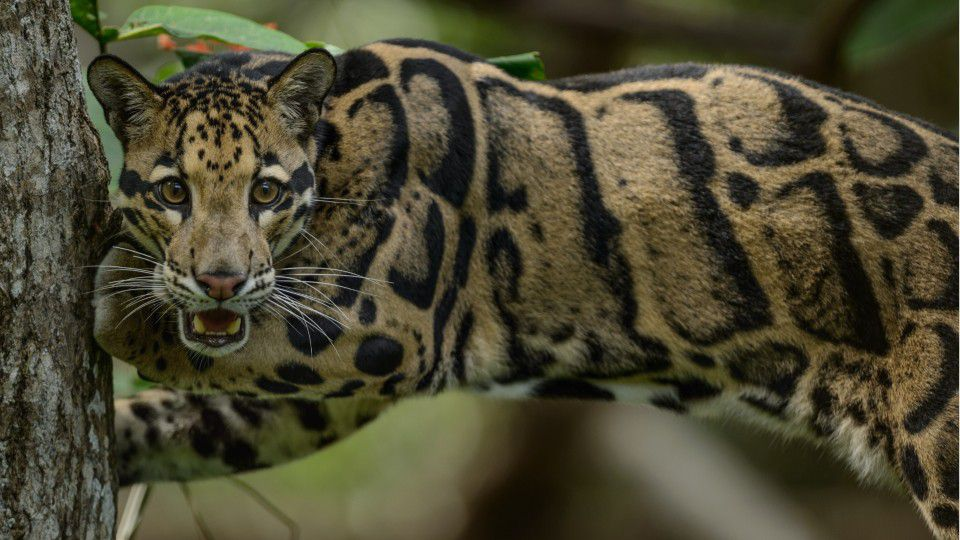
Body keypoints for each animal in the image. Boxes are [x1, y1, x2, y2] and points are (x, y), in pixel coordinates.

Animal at [87, 38, 958, 538]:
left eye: (265, 191)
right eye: (173, 191)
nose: (220, 278)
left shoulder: (379, 322)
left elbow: (159, 334)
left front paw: (115, 295)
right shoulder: (308, 399)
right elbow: (185, 418)